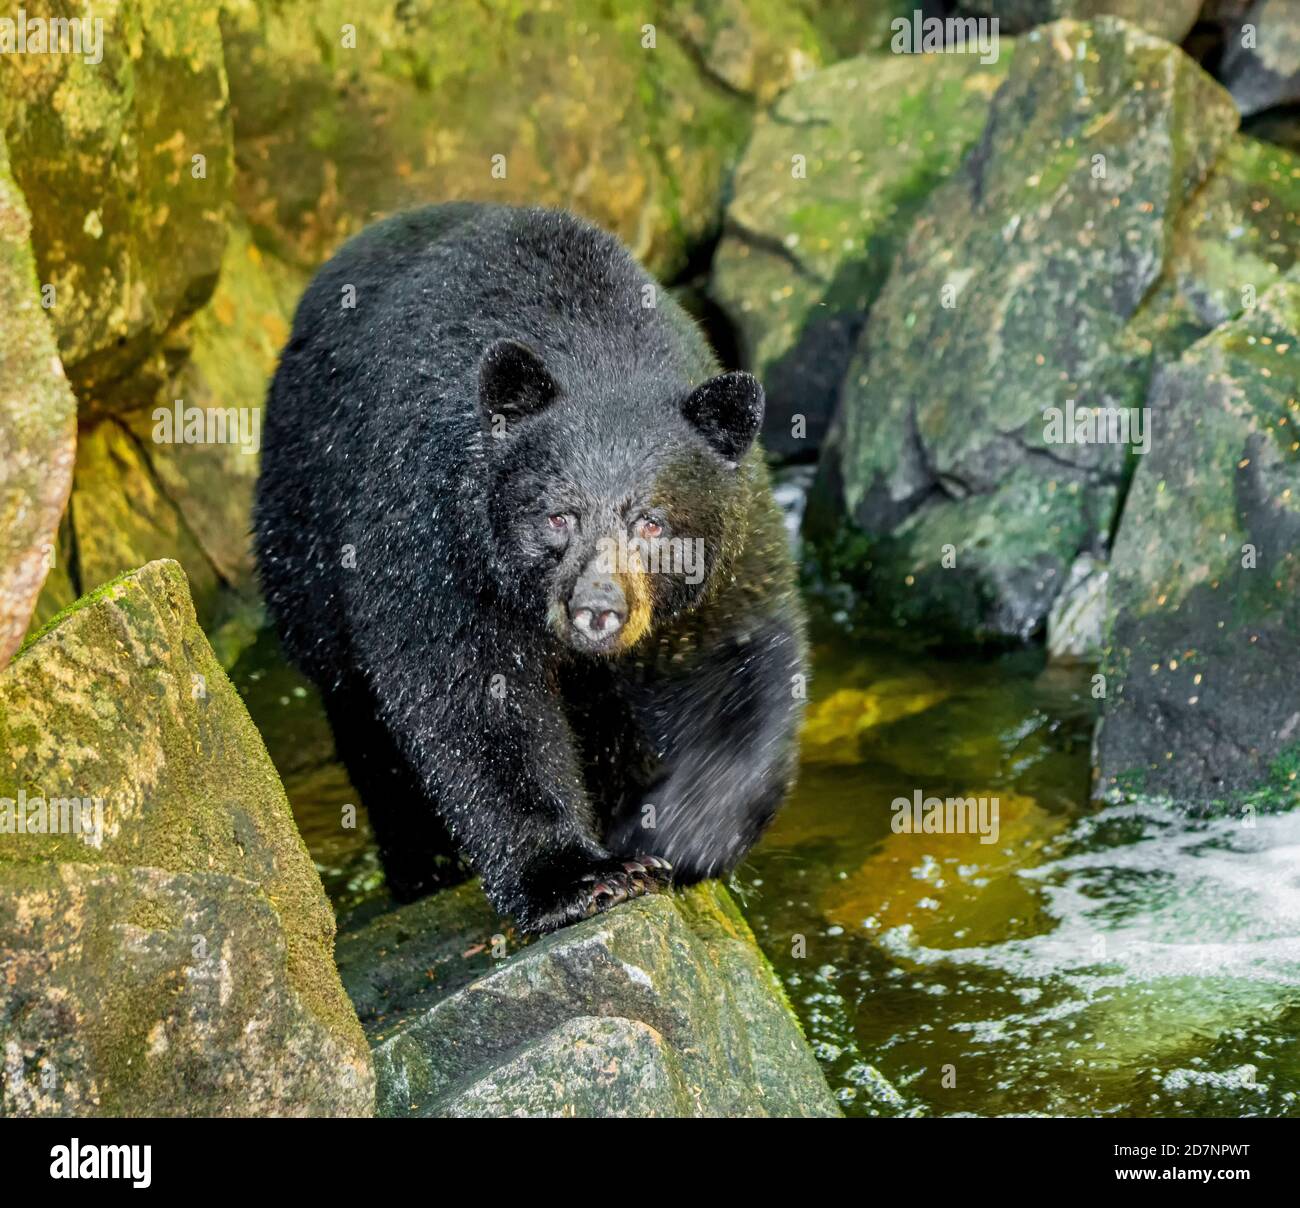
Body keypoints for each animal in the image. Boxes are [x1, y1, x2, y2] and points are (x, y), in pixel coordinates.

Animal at [250, 202, 800, 931]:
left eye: (652, 523)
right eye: (557, 517)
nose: (597, 610)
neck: (598, 344)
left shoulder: (732, 546)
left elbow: (739, 662)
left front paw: (677, 834)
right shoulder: (436, 532)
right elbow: (472, 698)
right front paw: (576, 877)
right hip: (305, 536)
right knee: (361, 718)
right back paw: (422, 866)